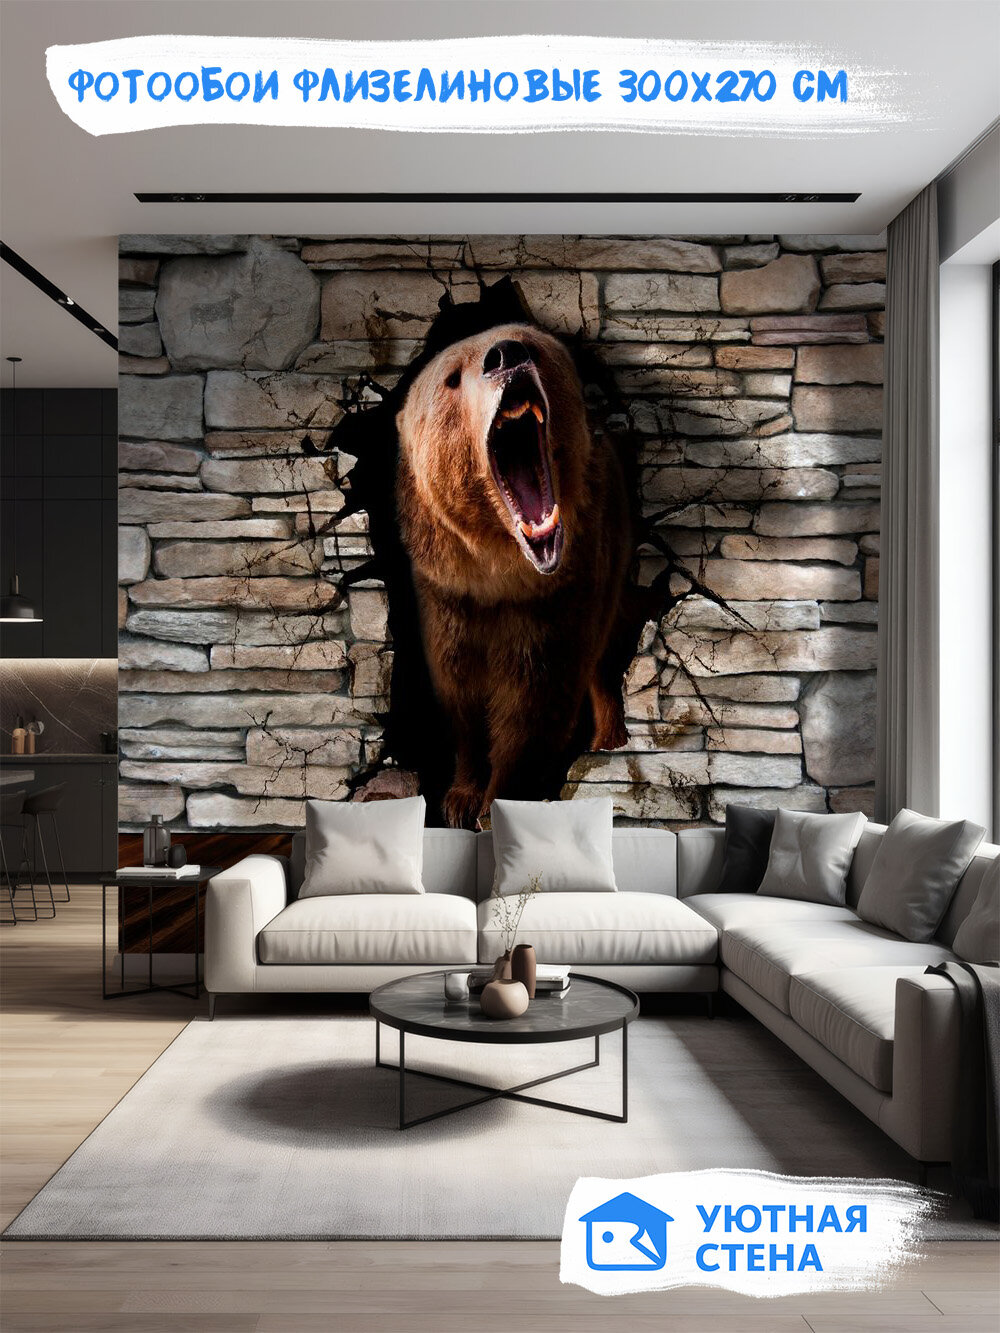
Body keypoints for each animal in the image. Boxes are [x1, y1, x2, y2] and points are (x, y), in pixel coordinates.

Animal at [395, 321, 633, 829]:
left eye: (533, 345)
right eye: (451, 378)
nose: (506, 356)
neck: (498, 575)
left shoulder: (558, 598)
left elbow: (533, 706)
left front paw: (496, 803)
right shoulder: (446, 594)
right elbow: (458, 698)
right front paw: (460, 797)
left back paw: (607, 740)